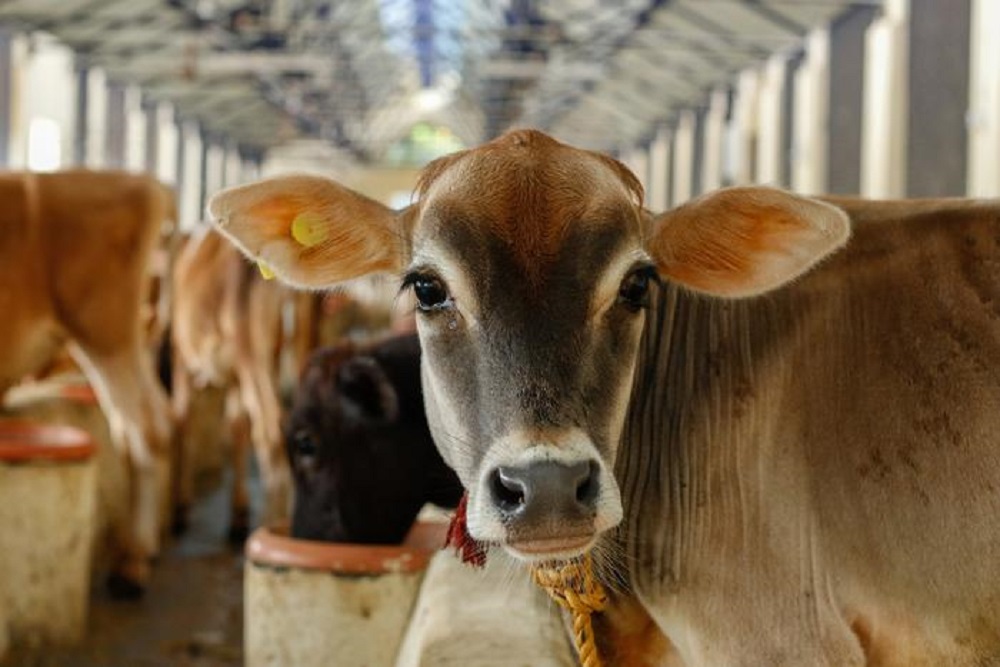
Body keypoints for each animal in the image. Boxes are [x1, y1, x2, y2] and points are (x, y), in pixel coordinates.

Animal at [0, 170, 176, 597]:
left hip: (103, 331)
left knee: (145, 429)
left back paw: (133, 564)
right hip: (124, 342)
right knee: (148, 420)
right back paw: (146, 544)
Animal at [171, 227, 289, 541]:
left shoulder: (181, 357)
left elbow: (184, 419)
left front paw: (181, 507)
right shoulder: (234, 378)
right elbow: (236, 427)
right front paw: (238, 512)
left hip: (249, 349)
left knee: (270, 428)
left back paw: (273, 525)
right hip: (275, 352)